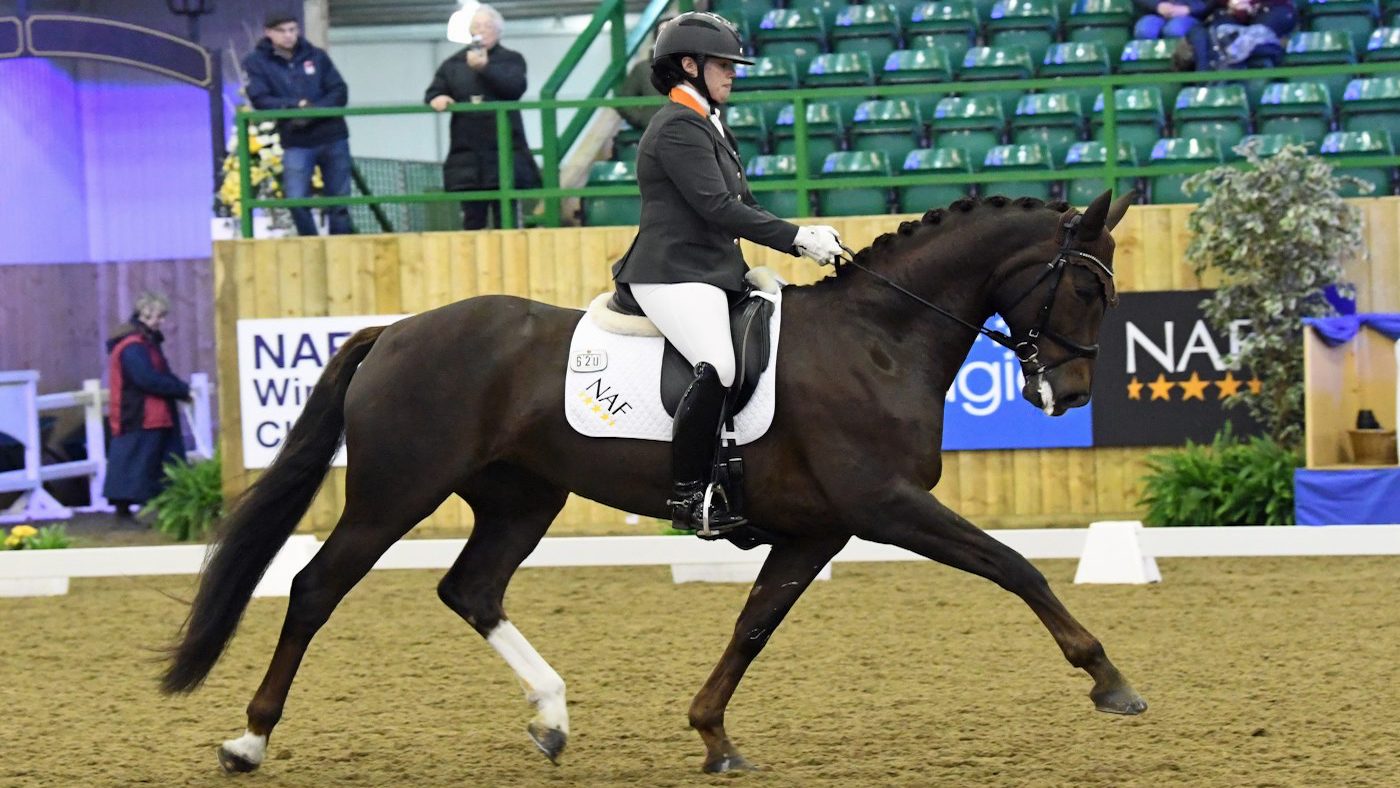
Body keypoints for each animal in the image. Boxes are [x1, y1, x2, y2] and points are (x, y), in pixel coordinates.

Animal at [162, 190, 1145, 775]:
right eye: (1086, 292)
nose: (1068, 395)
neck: (880, 338)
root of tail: (396, 331)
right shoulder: (888, 507)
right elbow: (1014, 567)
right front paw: (1109, 680)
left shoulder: (818, 529)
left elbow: (754, 626)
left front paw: (712, 734)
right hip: (394, 493)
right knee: (314, 587)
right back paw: (248, 739)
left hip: (522, 498)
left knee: (471, 588)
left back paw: (553, 719)